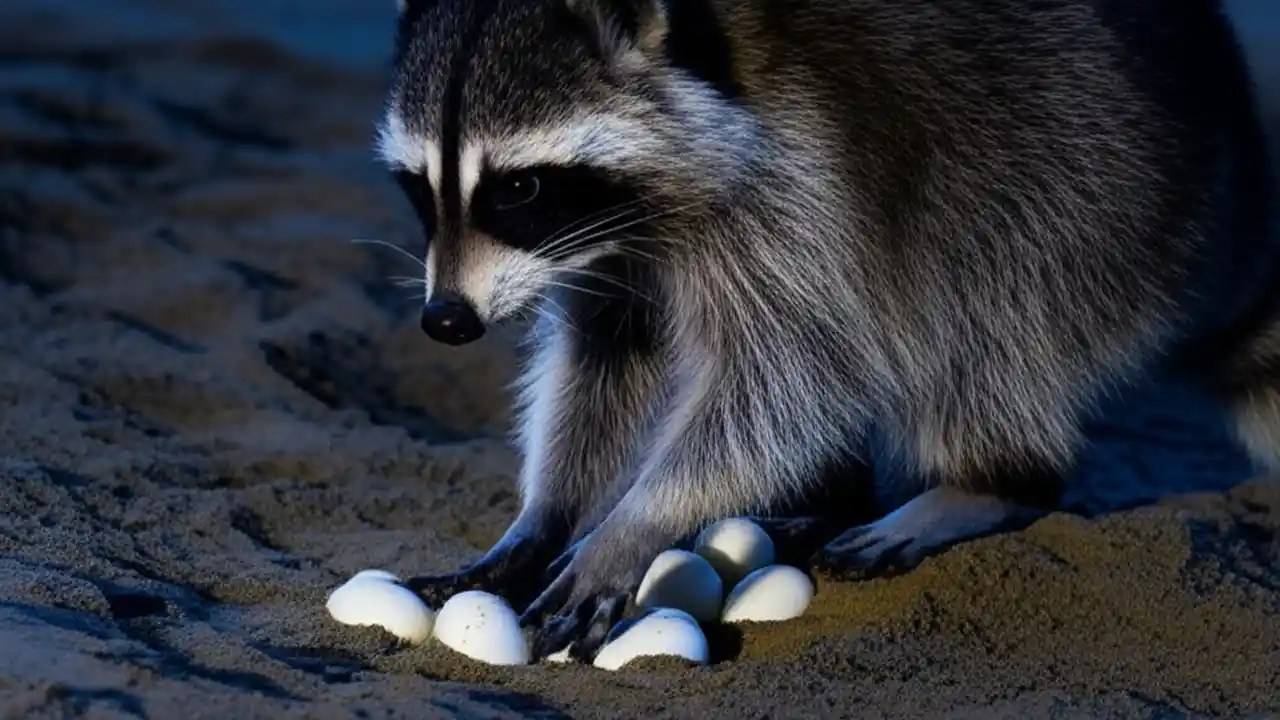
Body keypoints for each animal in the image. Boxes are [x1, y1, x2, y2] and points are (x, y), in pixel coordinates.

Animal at [377, 0, 1278, 660]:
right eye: (420, 190)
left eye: (518, 187)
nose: (446, 320)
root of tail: (1240, 216)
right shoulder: (611, 253)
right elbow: (604, 361)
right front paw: (547, 516)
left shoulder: (798, 182)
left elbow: (794, 377)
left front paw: (635, 521)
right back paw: (838, 495)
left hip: (1096, 182)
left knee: (974, 309)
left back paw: (995, 478)